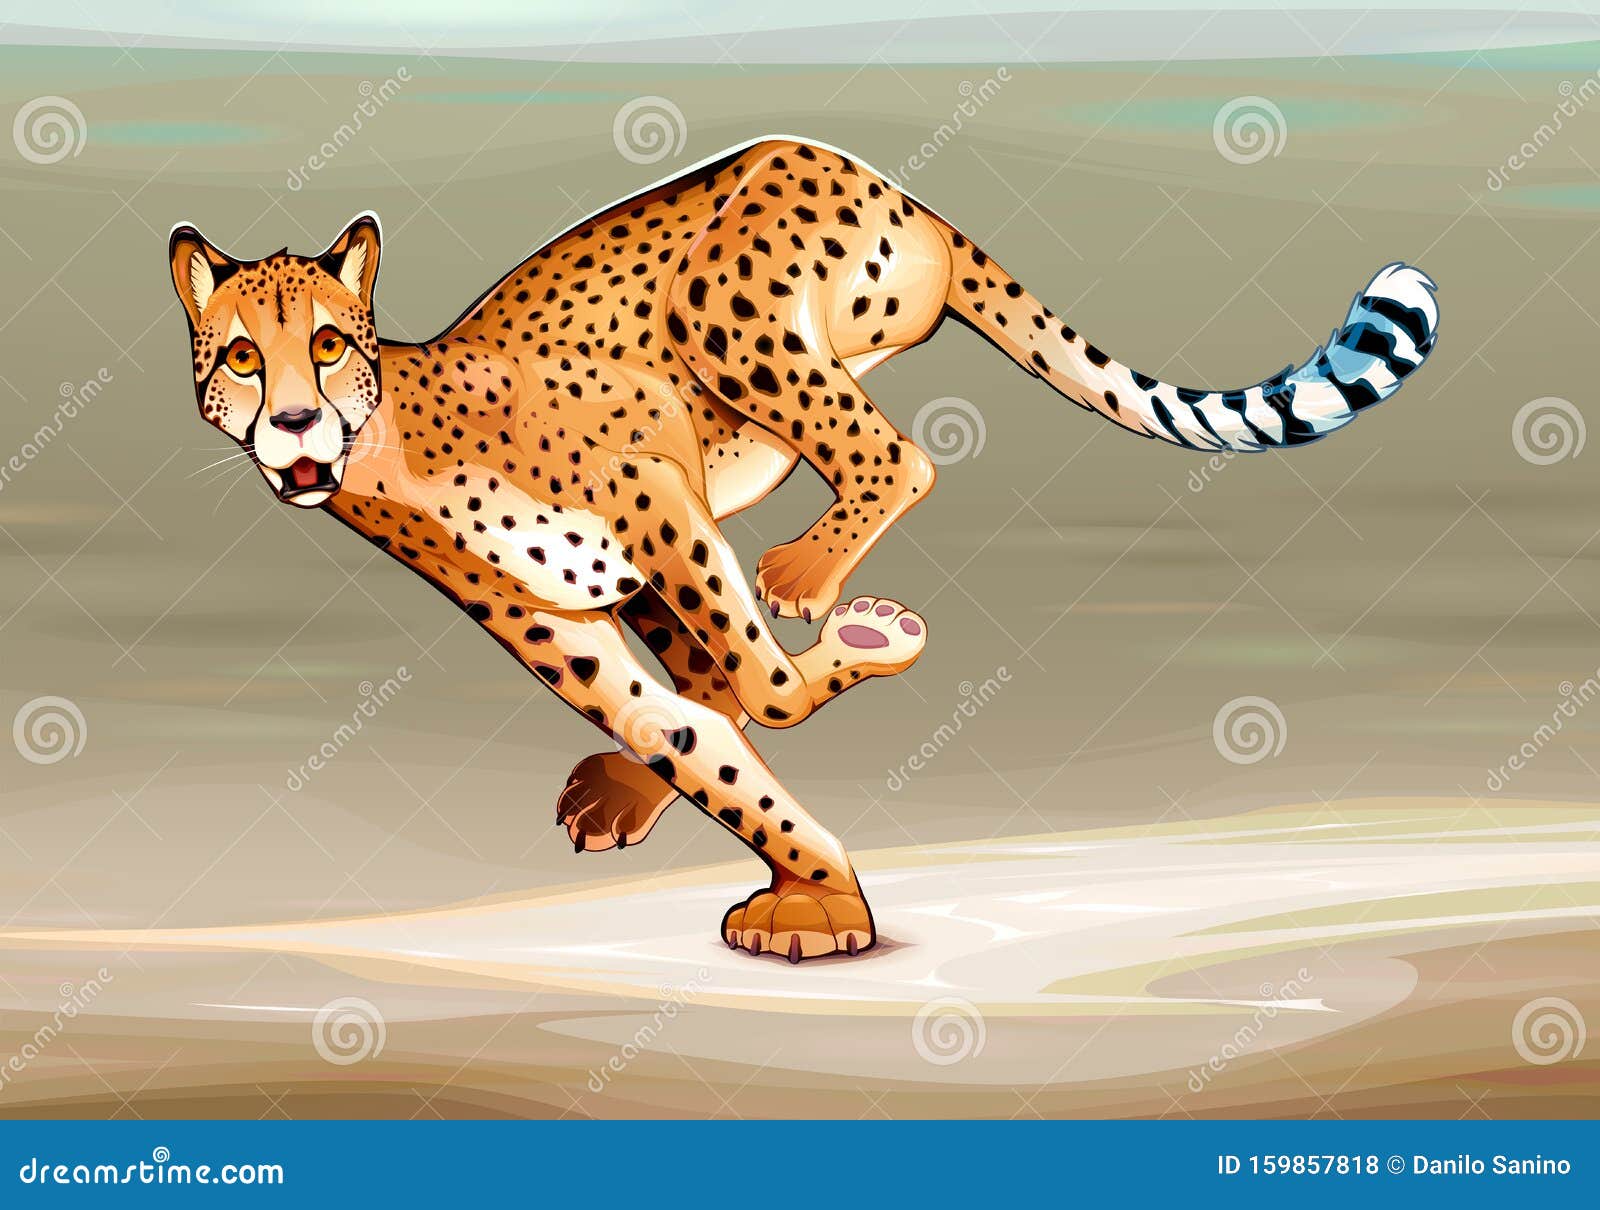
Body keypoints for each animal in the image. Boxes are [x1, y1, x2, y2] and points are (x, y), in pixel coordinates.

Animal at [167, 136, 1439, 962]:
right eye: (241, 357)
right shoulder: (570, 621)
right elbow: (696, 737)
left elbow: (761, 690)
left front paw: (859, 659)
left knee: (896, 459)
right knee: (710, 666)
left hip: (729, 320)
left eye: (329, 343)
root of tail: (857, 167)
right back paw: (632, 779)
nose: (295, 422)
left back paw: (806, 574)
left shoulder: (654, 488)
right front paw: (815, 892)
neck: (390, 448)